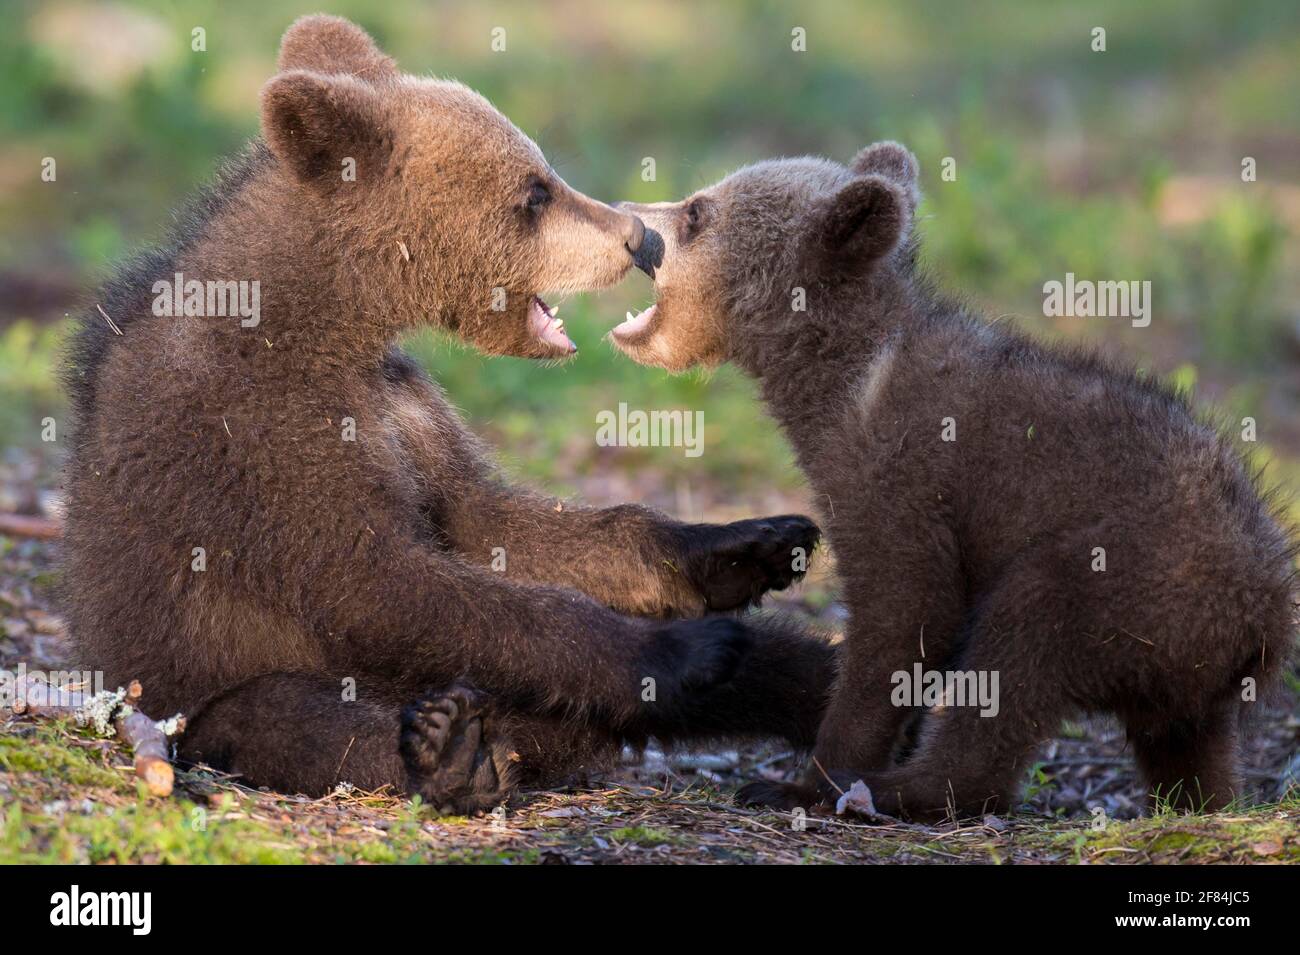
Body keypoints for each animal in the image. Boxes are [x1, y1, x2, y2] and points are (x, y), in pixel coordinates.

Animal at [60, 15, 836, 814]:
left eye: (544, 171)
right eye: (534, 192)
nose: (636, 237)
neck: (323, 324)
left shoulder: (404, 409)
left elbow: (492, 522)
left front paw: (748, 543)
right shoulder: (253, 437)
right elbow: (386, 583)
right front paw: (685, 647)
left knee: (783, 661)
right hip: (206, 688)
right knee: (297, 717)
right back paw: (452, 751)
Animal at [610, 141, 1296, 820]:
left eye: (697, 211)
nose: (628, 214)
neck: (836, 384)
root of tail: (1264, 623)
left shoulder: (899, 475)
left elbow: (907, 612)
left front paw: (807, 780)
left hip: (1137, 580)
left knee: (1022, 650)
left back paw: (895, 789)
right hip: (1185, 668)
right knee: (1191, 752)